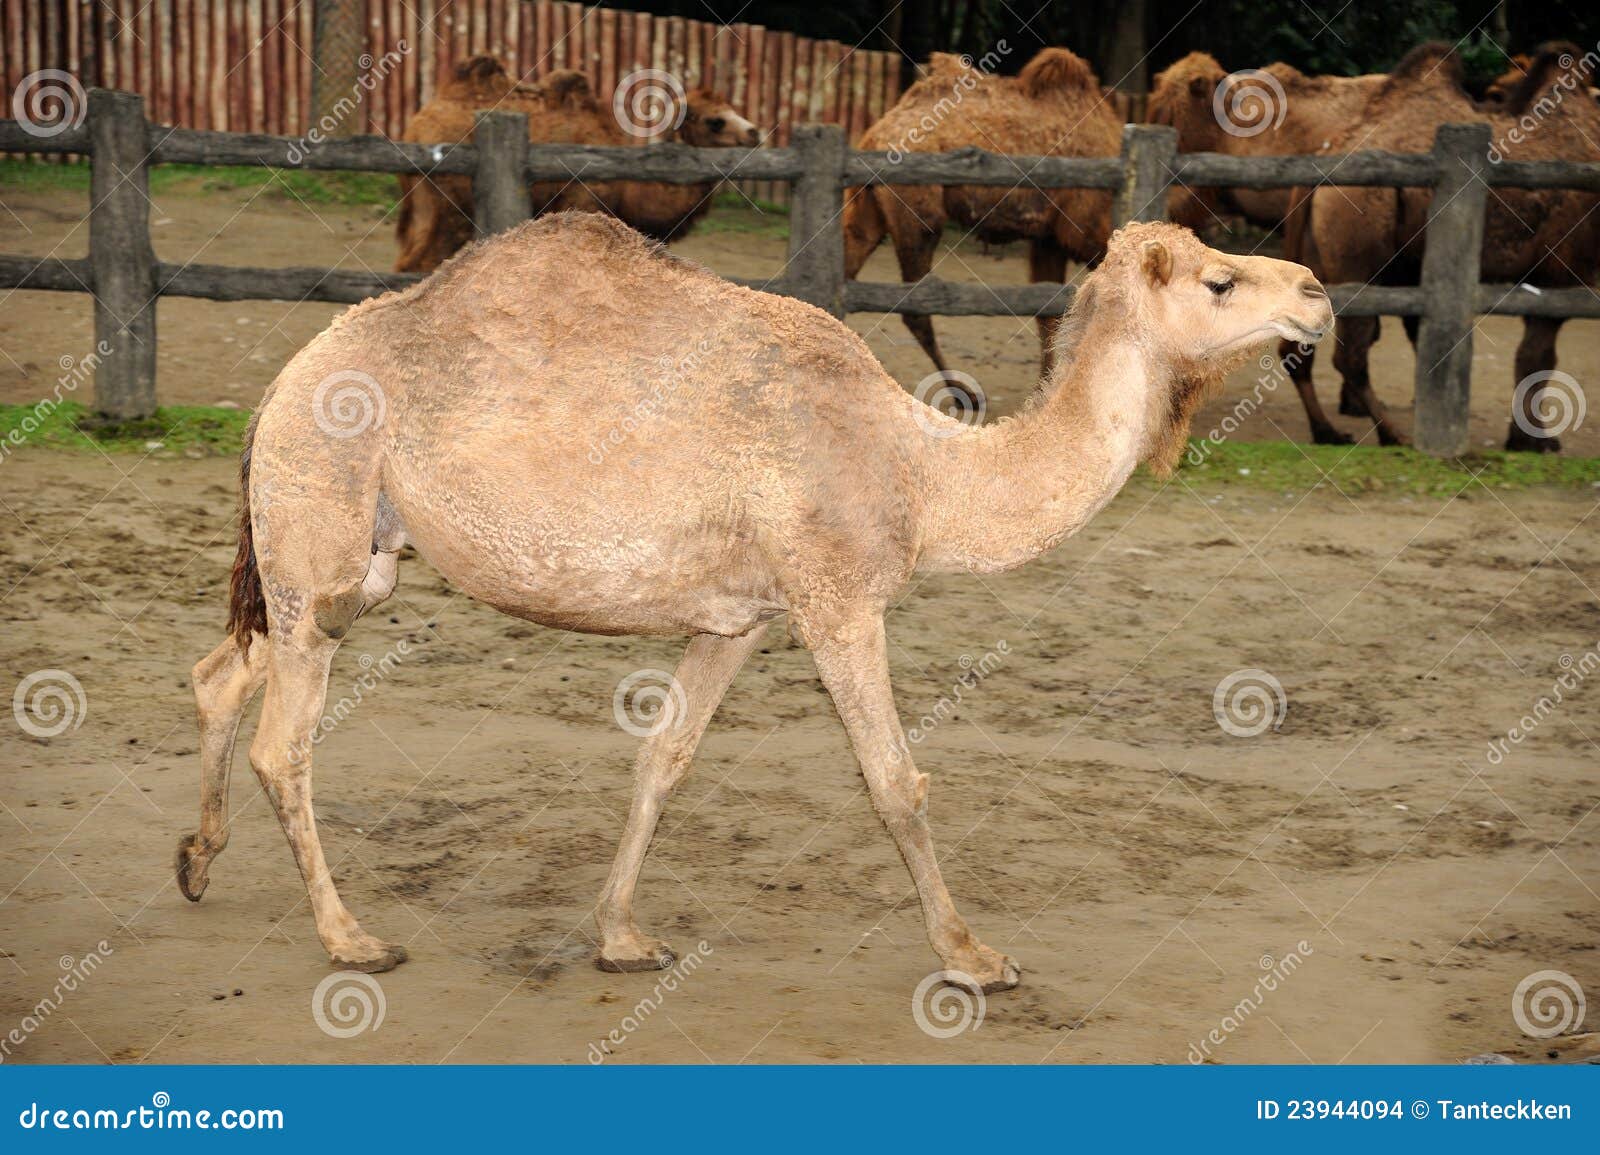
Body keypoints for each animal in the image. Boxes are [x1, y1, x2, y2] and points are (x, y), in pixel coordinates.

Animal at [176, 213, 1330, 992]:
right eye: (1220, 279)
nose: (1318, 290)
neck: (923, 475)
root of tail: (280, 383)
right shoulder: (837, 599)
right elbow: (896, 782)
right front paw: (973, 955)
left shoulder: (740, 617)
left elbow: (664, 759)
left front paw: (621, 936)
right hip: (323, 519)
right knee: (286, 739)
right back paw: (351, 937)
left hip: (347, 557)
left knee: (222, 668)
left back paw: (196, 859)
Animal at [395, 56, 759, 273]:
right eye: (715, 121)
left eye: (734, 108)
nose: (754, 132)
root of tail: (417, 123)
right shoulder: (586, 204)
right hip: (450, 206)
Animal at [843, 49, 1122, 384]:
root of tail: (875, 133)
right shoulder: (1084, 228)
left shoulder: (1048, 239)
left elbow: (1049, 312)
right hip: (918, 212)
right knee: (915, 308)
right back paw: (962, 389)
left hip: (869, 205)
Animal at [1295, 42, 1600, 448]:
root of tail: (1325, 155)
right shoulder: (1561, 269)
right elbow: (1538, 356)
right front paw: (1534, 442)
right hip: (1357, 239)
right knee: (1351, 356)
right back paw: (1393, 435)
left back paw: (1331, 430)